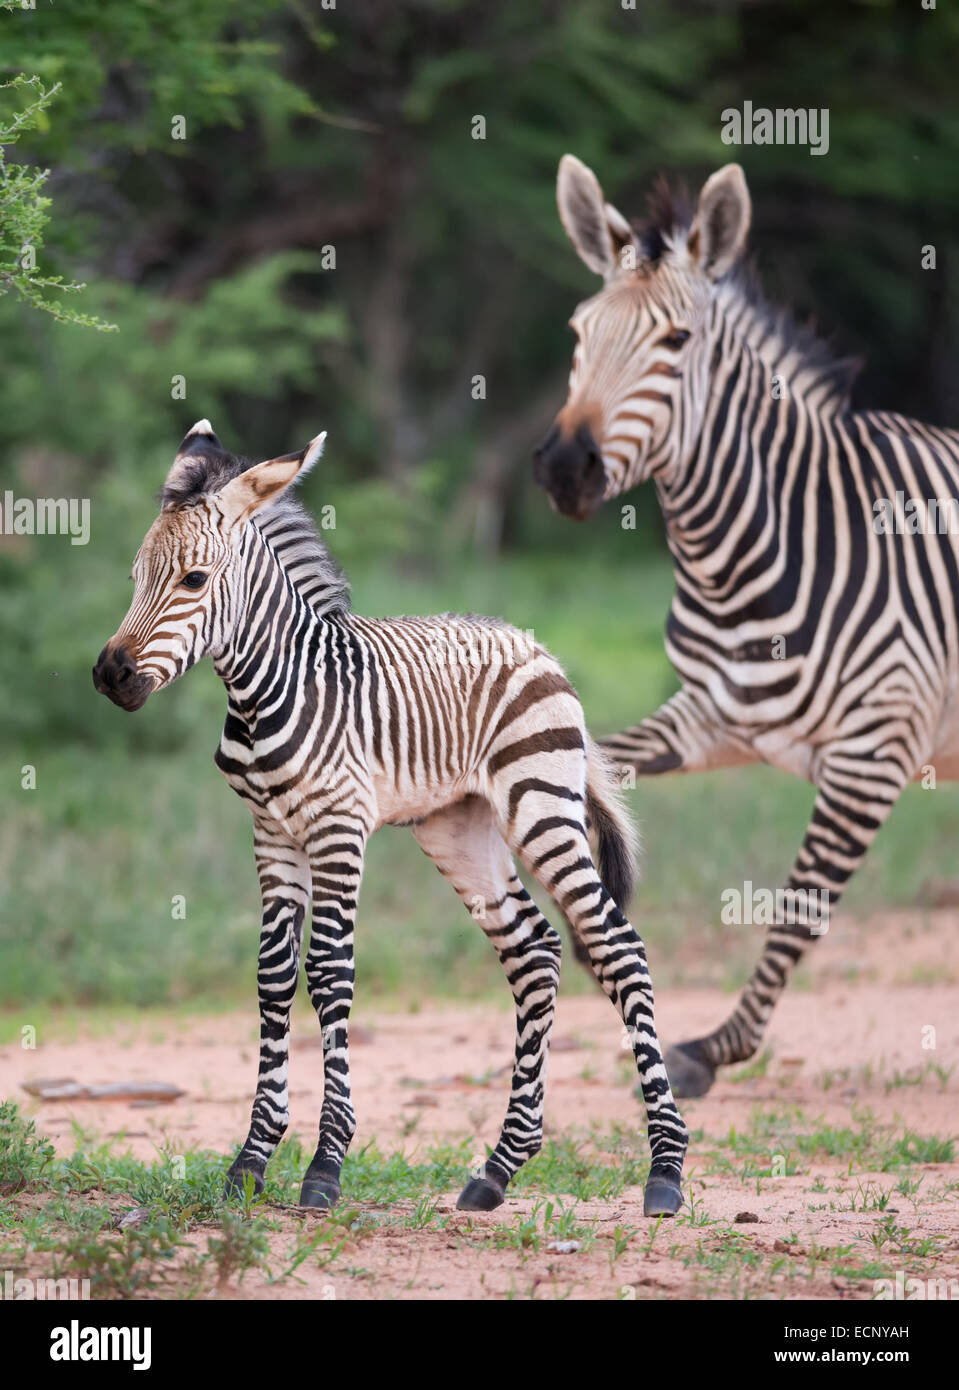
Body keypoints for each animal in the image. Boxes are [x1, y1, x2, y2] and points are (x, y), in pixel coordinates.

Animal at [92, 421, 688, 1214]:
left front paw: (325, 1165)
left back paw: (665, 1171)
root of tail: (531, 643)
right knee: (534, 952)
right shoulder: (271, 836)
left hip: (541, 808)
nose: (110, 675)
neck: (266, 690)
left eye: (193, 581)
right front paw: (250, 1161)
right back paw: (498, 1168)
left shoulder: (338, 829)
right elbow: (274, 975)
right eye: (135, 577)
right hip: (460, 829)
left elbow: (328, 972)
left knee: (618, 947)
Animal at [533, 154, 959, 1099]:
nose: (566, 468)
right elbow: (595, 768)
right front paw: (590, 917)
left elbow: (798, 909)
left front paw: (711, 1049)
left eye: (676, 342)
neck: (742, 563)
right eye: (577, 335)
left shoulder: (874, 753)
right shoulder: (715, 716)